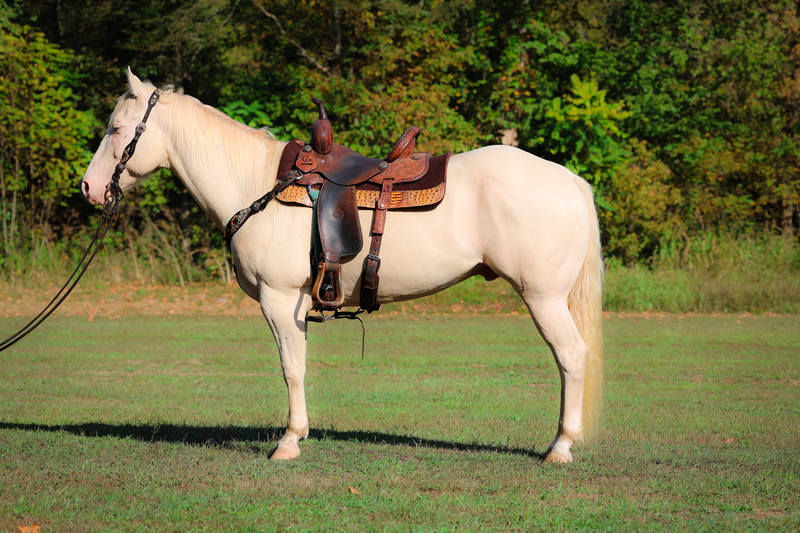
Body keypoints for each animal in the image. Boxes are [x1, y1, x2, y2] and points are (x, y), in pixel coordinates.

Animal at [81, 69, 604, 463]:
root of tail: (569, 179)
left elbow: (292, 368)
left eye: (116, 129)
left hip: (543, 298)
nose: (89, 188)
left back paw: (561, 447)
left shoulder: (280, 299)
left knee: (571, 356)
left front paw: (290, 441)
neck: (255, 183)